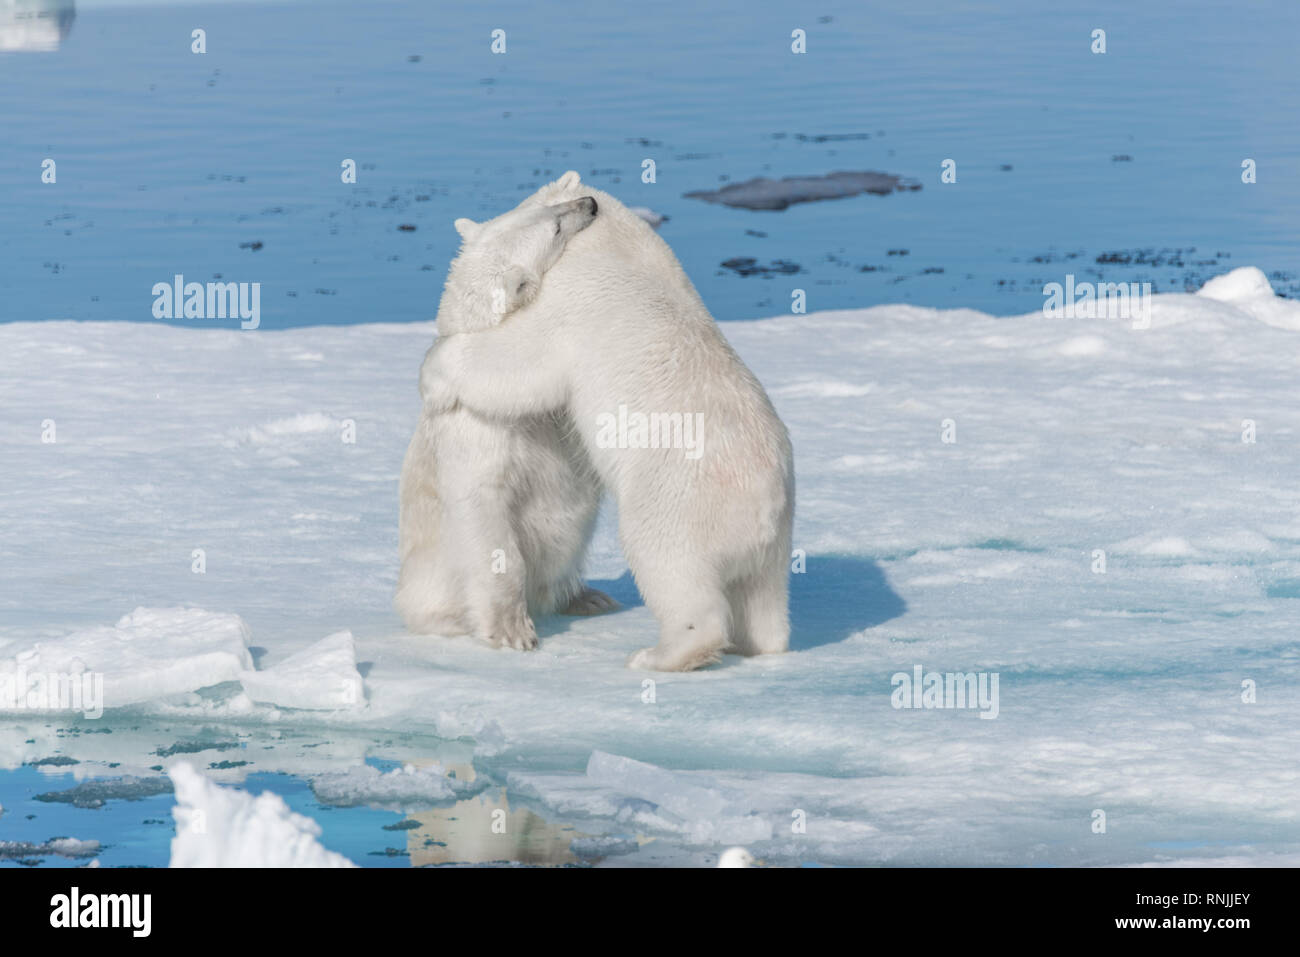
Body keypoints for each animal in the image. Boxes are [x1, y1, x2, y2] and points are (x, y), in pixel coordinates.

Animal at [396, 182, 618, 650]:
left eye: (549, 209)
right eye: (555, 228)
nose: (590, 203)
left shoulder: (553, 417)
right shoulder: (480, 430)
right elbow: (485, 511)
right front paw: (513, 632)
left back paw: (588, 597)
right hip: (426, 578)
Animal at [419, 172, 795, 671]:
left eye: (557, 221)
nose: (588, 204)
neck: (619, 243)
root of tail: (764, 508)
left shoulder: (570, 306)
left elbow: (522, 363)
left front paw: (434, 367)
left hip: (678, 498)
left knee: (668, 564)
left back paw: (662, 654)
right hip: (775, 543)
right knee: (763, 599)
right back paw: (757, 646)